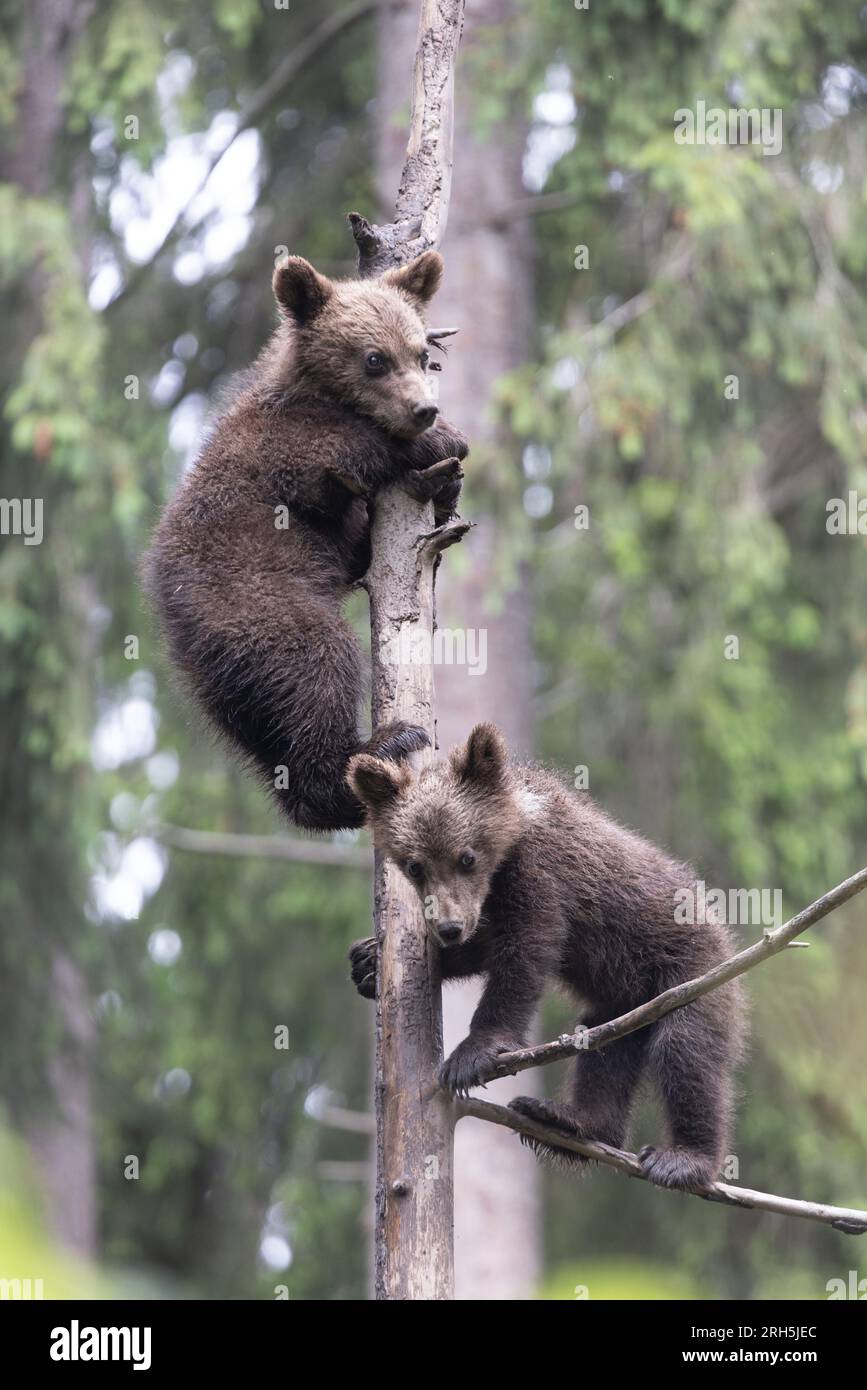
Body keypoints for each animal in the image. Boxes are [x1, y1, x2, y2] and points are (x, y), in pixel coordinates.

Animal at [143, 250, 468, 831]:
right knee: (317, 661)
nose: (422, 410)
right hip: (254, 601)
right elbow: (339, 452)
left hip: (228, 691)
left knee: (272, 733)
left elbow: (359, 543)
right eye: (374, 359)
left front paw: (446, 485)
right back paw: (377, 749)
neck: (313, 393)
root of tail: (176, 623)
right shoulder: (282, 451)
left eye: (421, 352)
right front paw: (441, 441)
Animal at [346, 723, 746, 1192]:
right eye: (414, 866)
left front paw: (472, 1054)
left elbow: (525, 954)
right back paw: (568, 1121)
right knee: (603, 1050)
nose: (448, 929)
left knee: (686, 1050)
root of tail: (721, 928)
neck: (513, 837)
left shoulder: (544, 875)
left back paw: (683, 1159)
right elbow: (488, 946)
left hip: (692, 970)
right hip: (623, 1004)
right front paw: (369, 961)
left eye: (466, 857)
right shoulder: (490, 903)